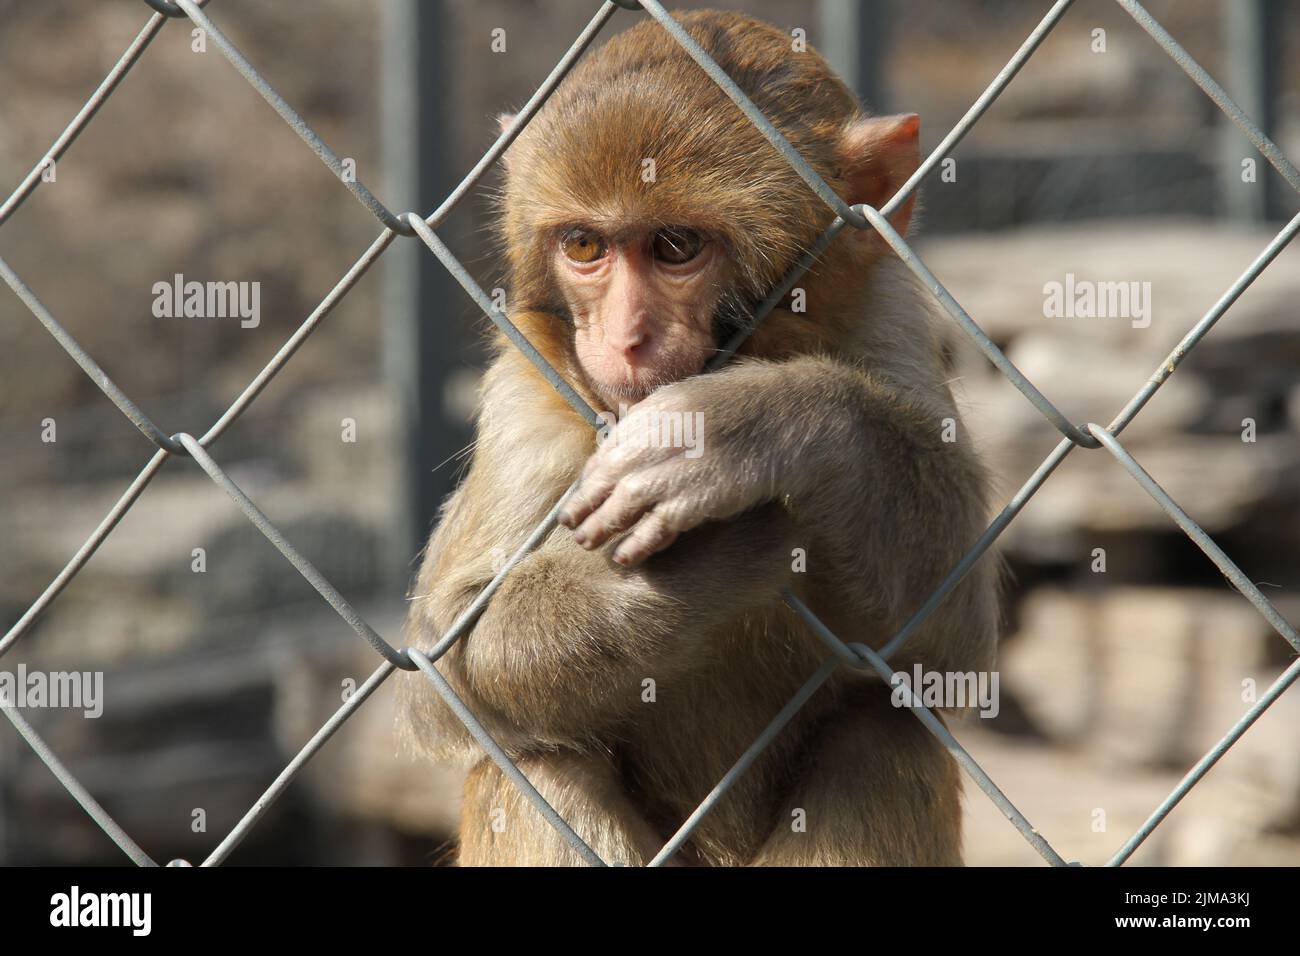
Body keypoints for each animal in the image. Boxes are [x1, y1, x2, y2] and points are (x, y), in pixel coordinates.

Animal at [395, 9, 999, 867]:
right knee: (536, 764)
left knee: (883, 734)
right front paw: (719, 558)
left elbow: (956, 644)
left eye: (677, 247)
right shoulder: (524, 394)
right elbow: (439, 666)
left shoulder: (887, 316)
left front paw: (748, 429)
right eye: (586, 246)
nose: (624, 339)